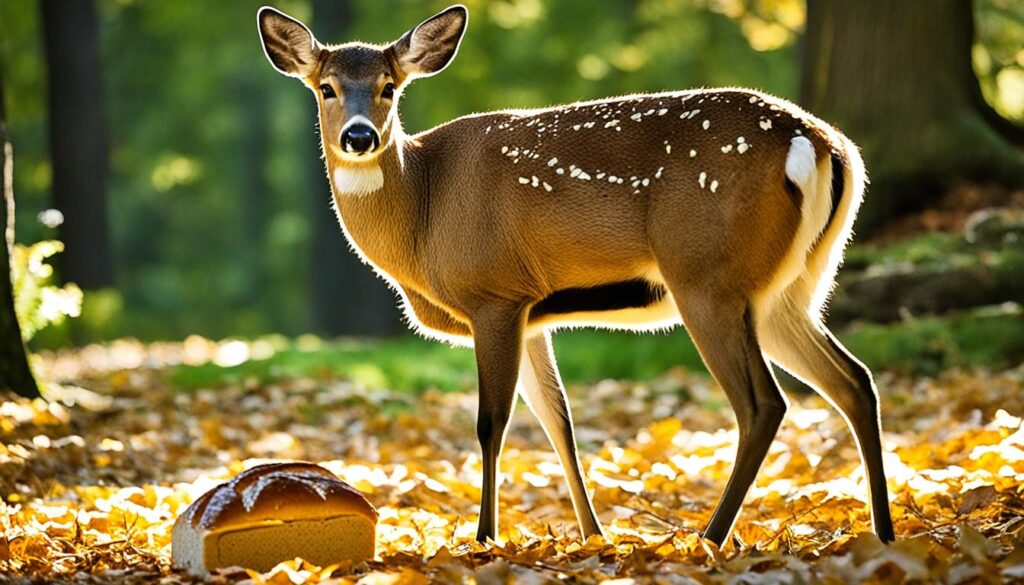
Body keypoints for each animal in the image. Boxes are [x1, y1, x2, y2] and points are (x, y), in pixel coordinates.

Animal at [257, 4, 895, 547]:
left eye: (390, 87)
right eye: (326, 87)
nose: (359, 136)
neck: (424, 212)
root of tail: (824, 145)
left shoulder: (493, 294)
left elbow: (492, 422)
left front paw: (485, 538)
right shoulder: (533, 312)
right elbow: (558, 421)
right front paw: (594, 536)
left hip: (708, 276)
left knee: (764, 404)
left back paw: (709, 539)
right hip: (792, 287)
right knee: (854, 380)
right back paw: (884, 532)